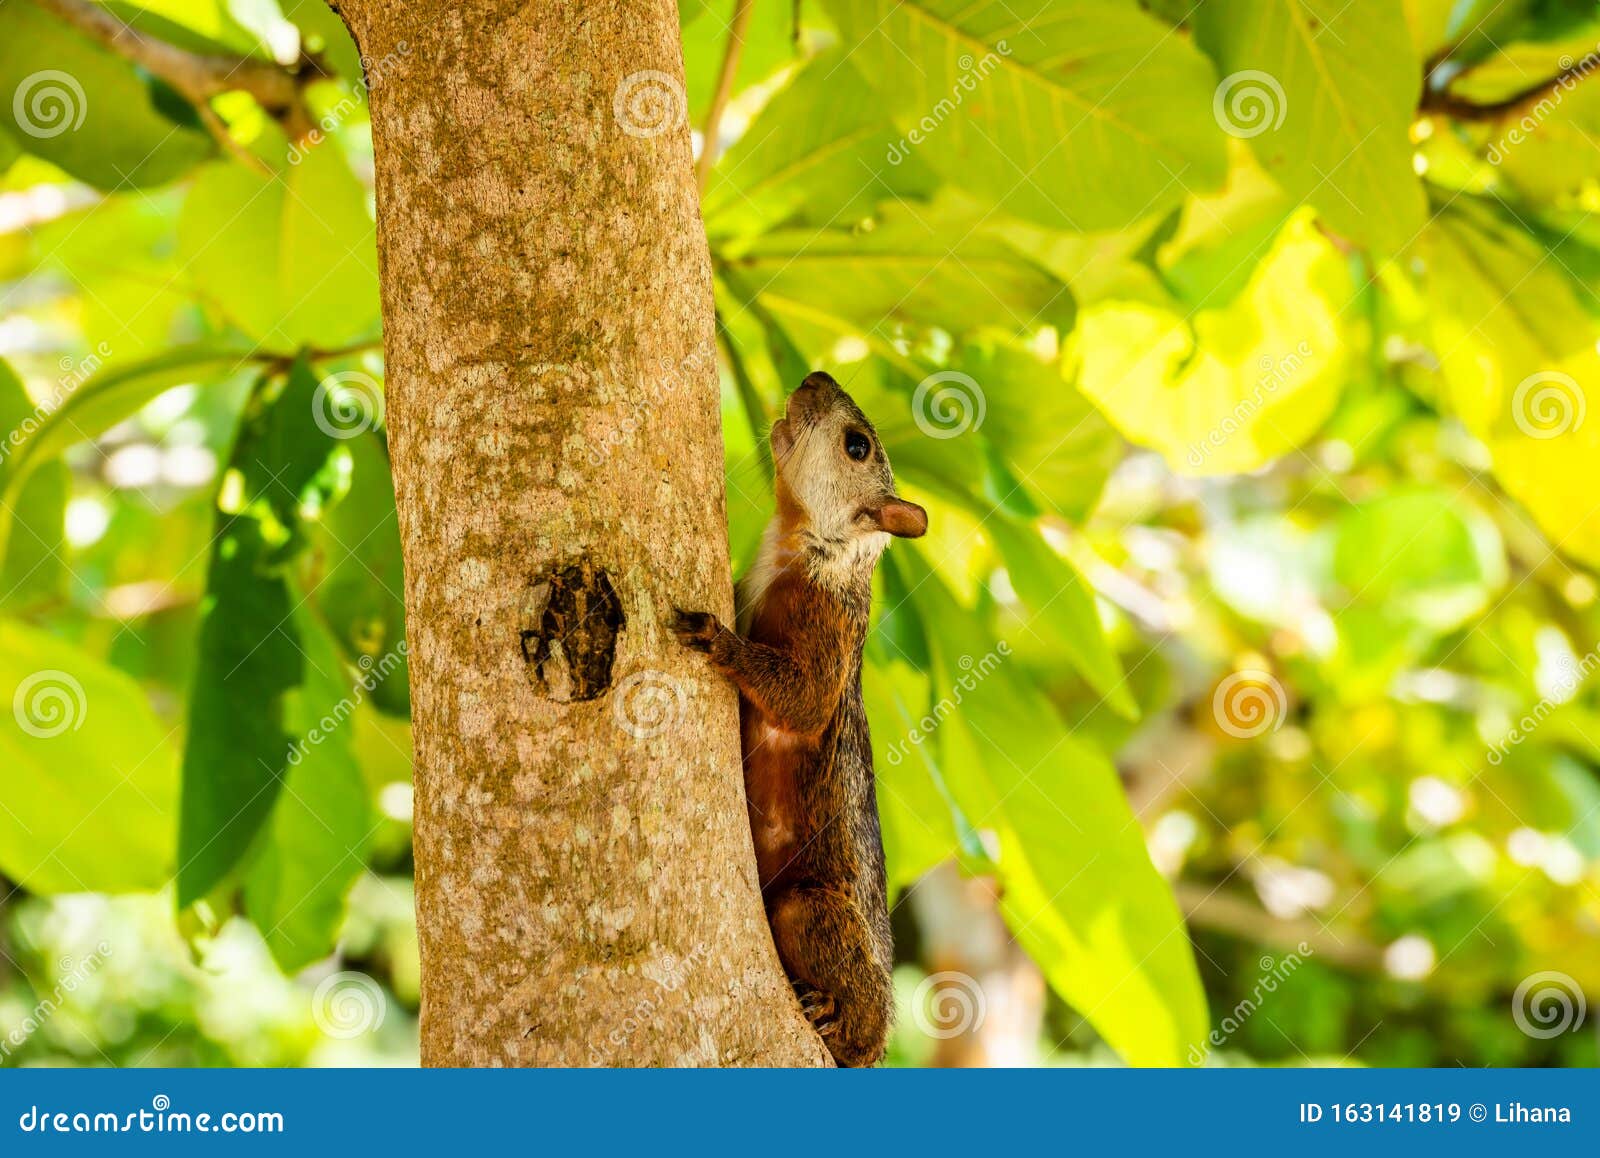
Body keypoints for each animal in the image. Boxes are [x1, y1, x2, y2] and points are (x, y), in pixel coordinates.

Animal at [672, 371, 927, 1067]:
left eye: (857, 445)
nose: (815, 377)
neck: (796, 545)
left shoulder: (829, 629)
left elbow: (805, 699)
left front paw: (719, 642)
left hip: (807, 910)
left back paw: (838, 1019)